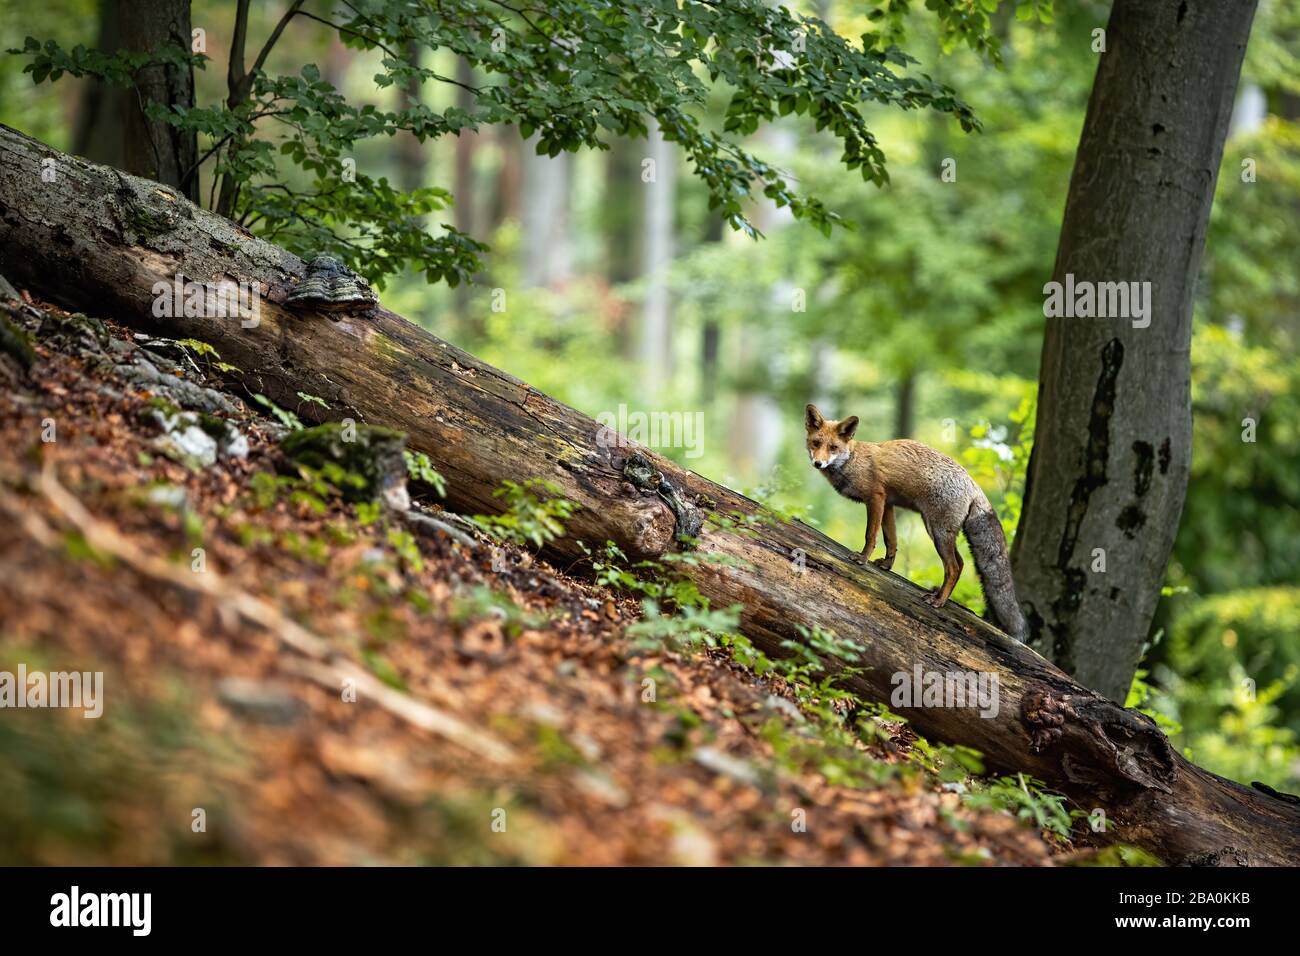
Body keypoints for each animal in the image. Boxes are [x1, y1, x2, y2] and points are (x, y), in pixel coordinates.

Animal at [804, 403, 1027, 642]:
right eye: (816, 443)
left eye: (833, 447)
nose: (818, 463)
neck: (852, 460)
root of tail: (974, 485)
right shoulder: (888, 504)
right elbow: (891, 540)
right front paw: (886, 566)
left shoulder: (876, 498)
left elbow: (870, 535)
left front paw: (862, 559)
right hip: (940, 532)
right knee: (961, 564)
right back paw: (940, 594)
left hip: (937, 532)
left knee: (954, 567)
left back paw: (938, 601)